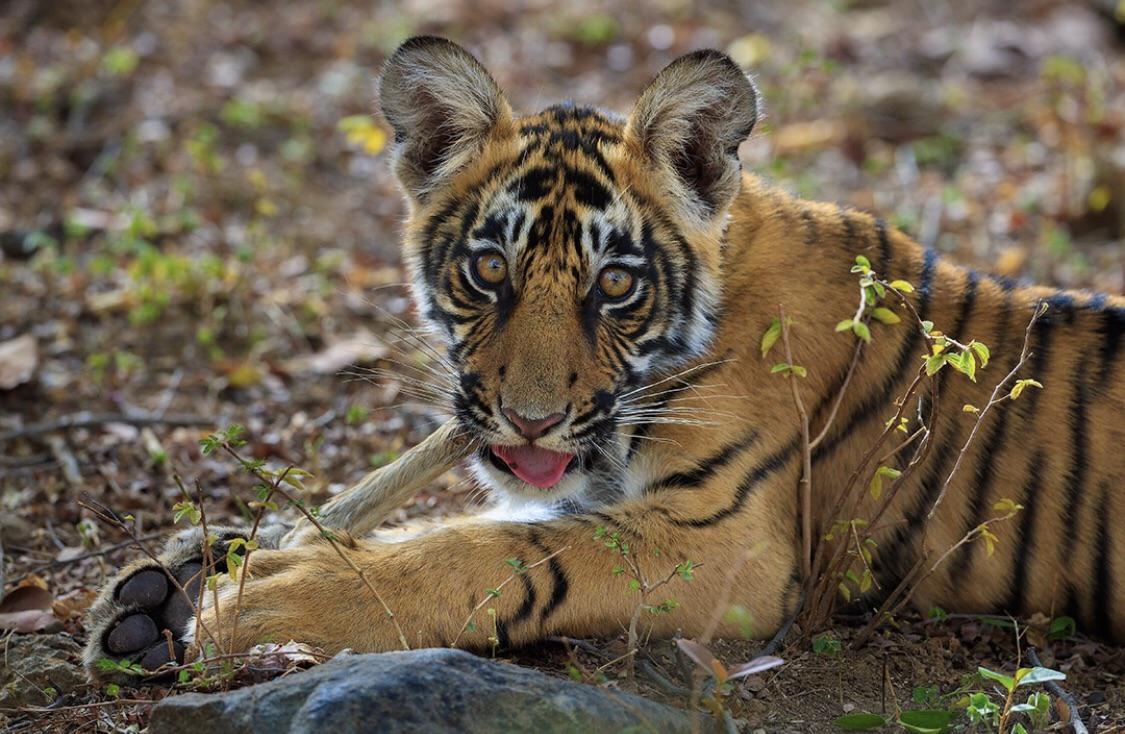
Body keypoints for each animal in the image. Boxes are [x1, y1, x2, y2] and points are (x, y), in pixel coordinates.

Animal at [85, 36, 1125, 682]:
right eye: (489, 269)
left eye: (615, 285)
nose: (532, 418)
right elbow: (426, 499)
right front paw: (161, 591)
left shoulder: (728, 544)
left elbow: (496, 551)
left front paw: (260, 602)